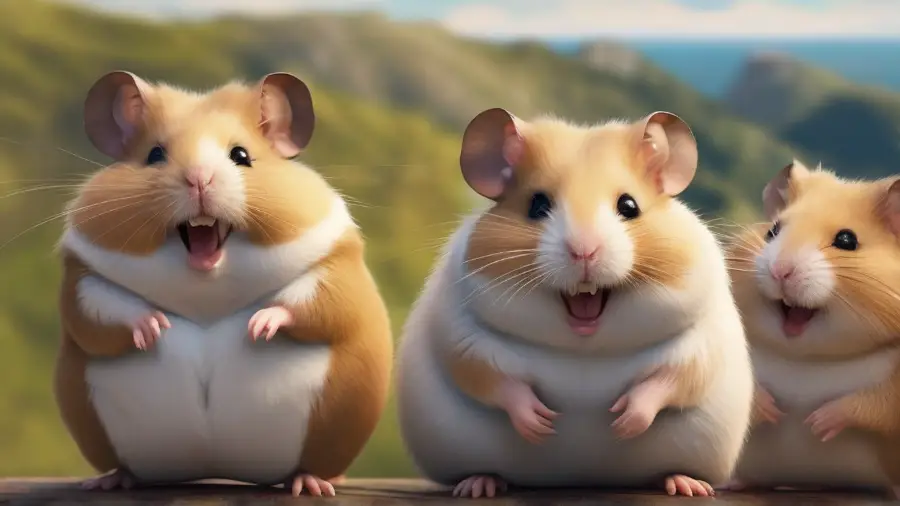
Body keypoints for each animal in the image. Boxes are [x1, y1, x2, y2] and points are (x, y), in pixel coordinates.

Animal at [53, 71, 392, 497]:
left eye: (241, 156)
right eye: (155, 155)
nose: (198, 179)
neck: (207, 293)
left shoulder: (338, 268)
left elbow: (315, 305)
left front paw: (259, 327)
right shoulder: (83, 275)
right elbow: (101, 311)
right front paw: (154, 329)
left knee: (309, 467)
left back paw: (309, 483)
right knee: (125, 468)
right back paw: (111, 480)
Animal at [396, 108, 754, 498]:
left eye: (629, 206)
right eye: (537, 205)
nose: (584, 251)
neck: (584, 349)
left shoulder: (700, 342)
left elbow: (670, 381)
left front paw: (621, 421)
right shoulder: (462, 334)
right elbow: (493, 379)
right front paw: (543, 423)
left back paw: (686, 484)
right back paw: (478, 485)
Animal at [728, 161, 900, 495]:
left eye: (847, 240)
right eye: (772, 231)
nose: (779, 270)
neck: (808, 356)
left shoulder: (891, 393)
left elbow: (871, 403)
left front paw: (817, 421)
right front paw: (774, 411)